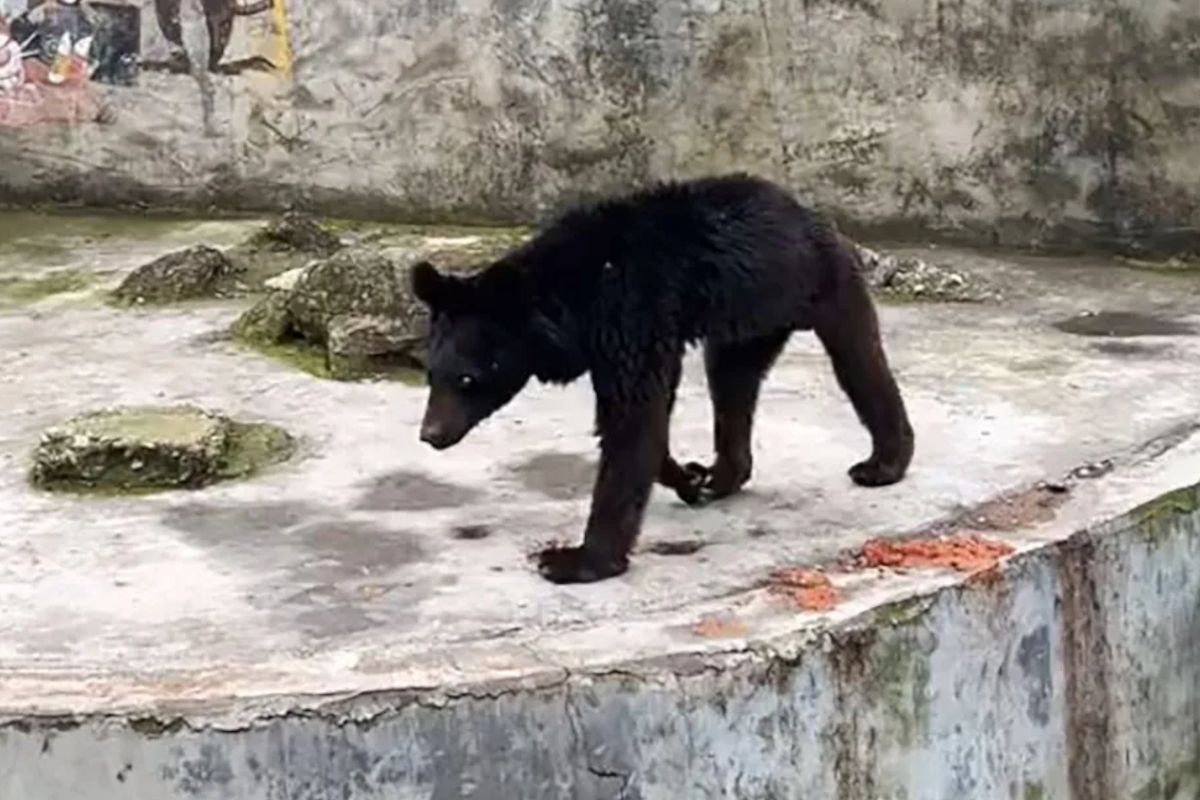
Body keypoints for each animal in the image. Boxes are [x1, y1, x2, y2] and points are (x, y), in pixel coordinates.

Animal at [411, 173, 914, 584]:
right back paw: (722, 474)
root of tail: (809, 213)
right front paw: (686, 476)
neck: (571, 304)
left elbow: (632, 423)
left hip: (818, 284)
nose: (430, 434)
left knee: (858, 360)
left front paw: (573, 559)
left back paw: (882, 462)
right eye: (431, 374)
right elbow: (640, 423)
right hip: (745, 322)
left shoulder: (631, 315)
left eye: (468, 379)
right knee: (732, 383)